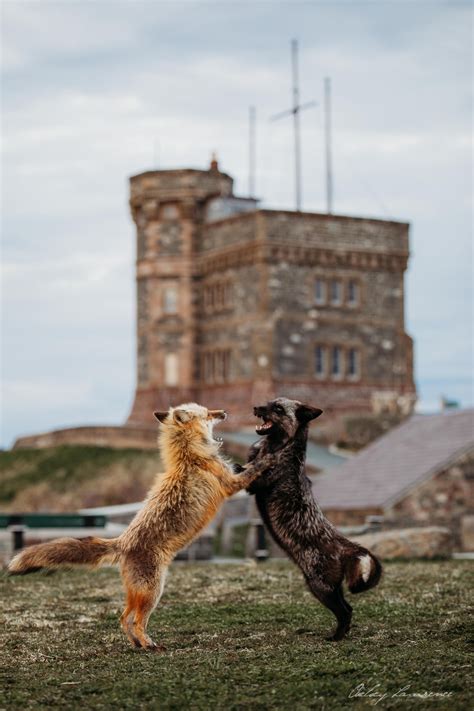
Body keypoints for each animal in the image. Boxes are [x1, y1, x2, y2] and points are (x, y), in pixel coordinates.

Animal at [9, 403, 274, 651]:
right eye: (207, 413)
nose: (224, 412)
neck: (190, 456)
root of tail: (122, 542)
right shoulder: (230, 485)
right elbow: (251, 471)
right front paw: (267, 459)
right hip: (153, 592)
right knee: (136, 621)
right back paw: (149, 645)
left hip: (137, 593)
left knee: (123, 618)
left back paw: (137, 644)